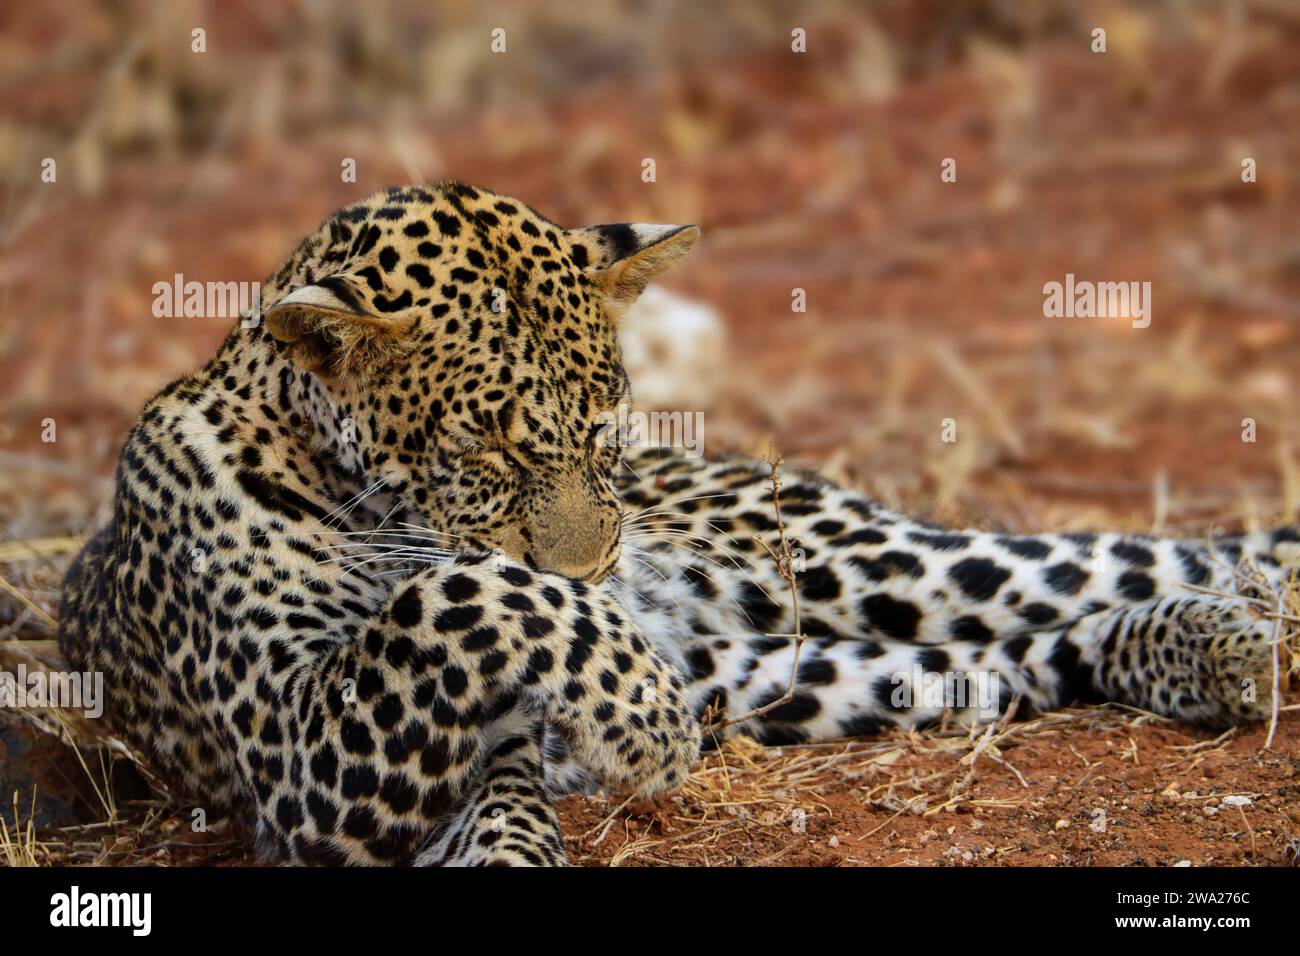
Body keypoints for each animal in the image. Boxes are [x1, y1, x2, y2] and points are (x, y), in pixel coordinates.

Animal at [59, 181, 1291, 867]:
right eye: (489, 448)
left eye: (602, 420)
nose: (603, 569)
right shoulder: (303, 753)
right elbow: (467, 589)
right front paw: (638, 714)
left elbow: (452, 585)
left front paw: (627, 707)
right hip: (781, 667)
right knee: (1013, 658)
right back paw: (1208, 649)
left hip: (836, 560)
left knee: (1104, 562)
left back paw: (1231, 624)